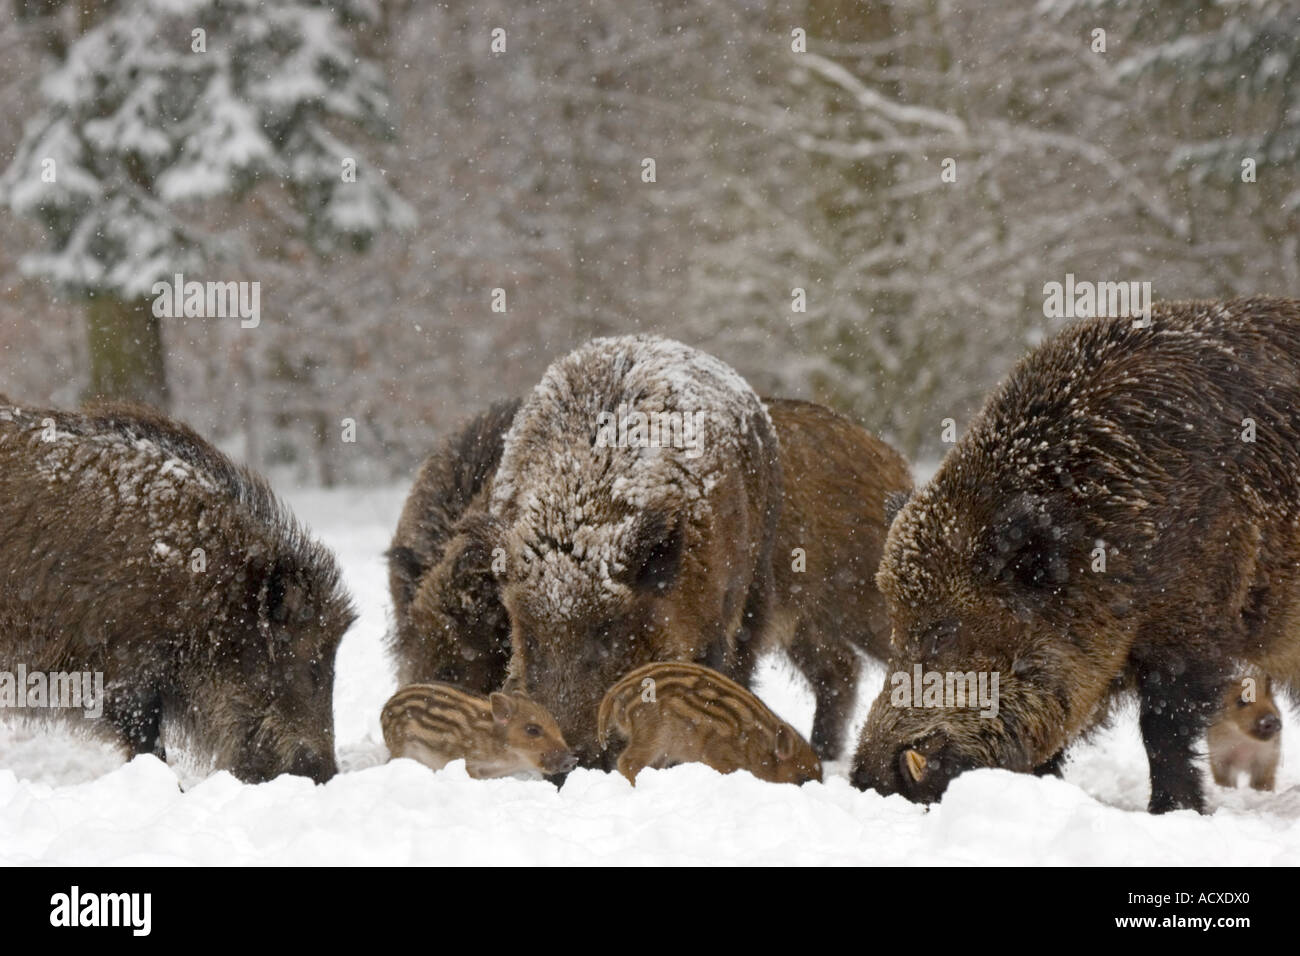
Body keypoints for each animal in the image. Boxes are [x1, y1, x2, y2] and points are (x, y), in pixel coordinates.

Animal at [597, 661, 821, 784]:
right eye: (804, 778)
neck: (756, 745)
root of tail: (617, 691)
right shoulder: (718, 755)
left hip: (664, 749)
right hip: (652, 734)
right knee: (626, 762)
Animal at [852, 297, 1300, 813]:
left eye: (944, 632)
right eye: (895, 629)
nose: (867, 777)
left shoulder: (1194, 622)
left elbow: (1163, 728)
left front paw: (1174, 810)